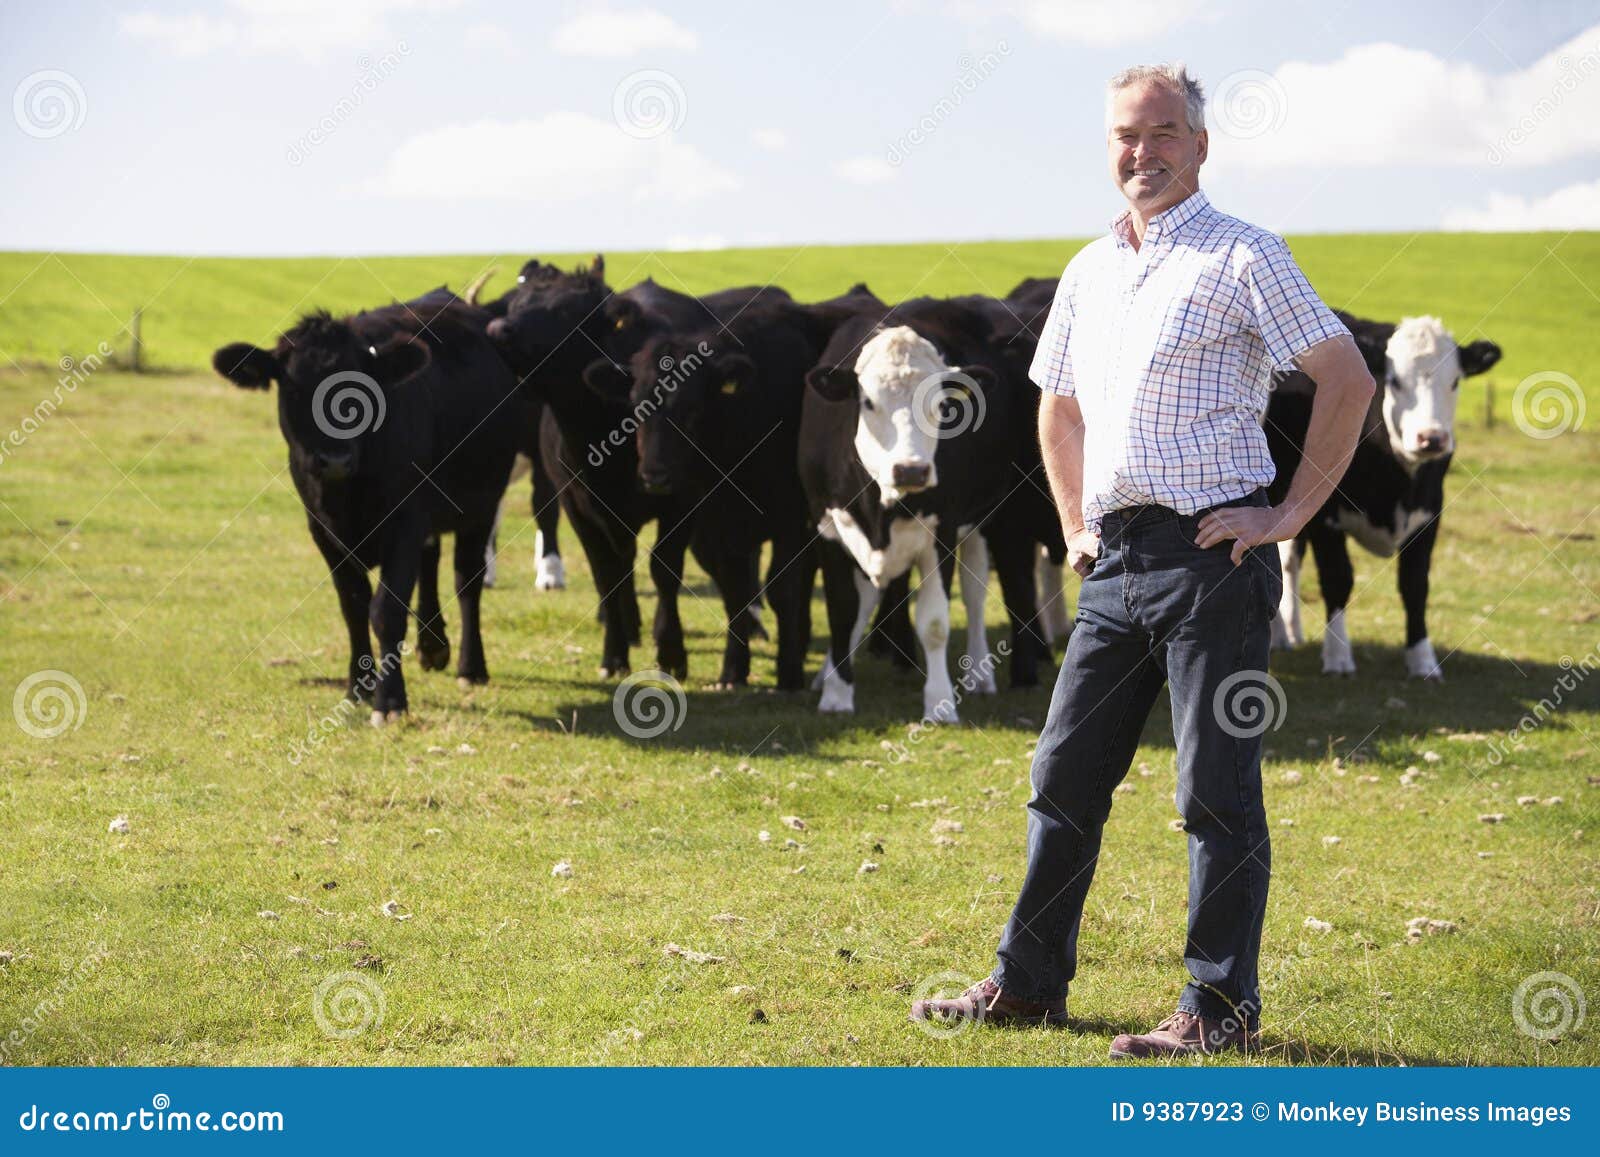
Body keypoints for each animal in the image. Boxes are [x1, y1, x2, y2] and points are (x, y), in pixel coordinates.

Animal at [212, 286, 521, 722]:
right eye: (292, 388)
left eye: (364, 389)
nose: (334, 459)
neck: (346, 495)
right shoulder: (323, 530)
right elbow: (353, 606)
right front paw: (358, 687)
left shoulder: (406, 521)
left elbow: (386, 610)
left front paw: (390, 701)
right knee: (431, 561)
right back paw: (433, 646)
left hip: (482, 504)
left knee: (467, 580)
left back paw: (470, 666)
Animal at [799, 298, 1016, 721]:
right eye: (868, 402)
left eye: (943, 405)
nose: (911, 469)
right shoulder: (827, 527)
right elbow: (843, 611)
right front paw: (836, 692)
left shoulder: (942, 531)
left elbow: (933, 623)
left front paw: (940, 703)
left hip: (981, 522)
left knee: (975, 594)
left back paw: (980, 675)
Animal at [1264, 311, 1502, 679]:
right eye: (1395, 381)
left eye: (1455, 382)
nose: (1431, 438)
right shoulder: (1324, 517)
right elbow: (1338, 578)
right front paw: (1338, 656)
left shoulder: (1429, 515)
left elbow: (1415, 585)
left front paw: (1422, 660)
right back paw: (1278, 635)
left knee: (1288, 561)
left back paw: (1288, 632)